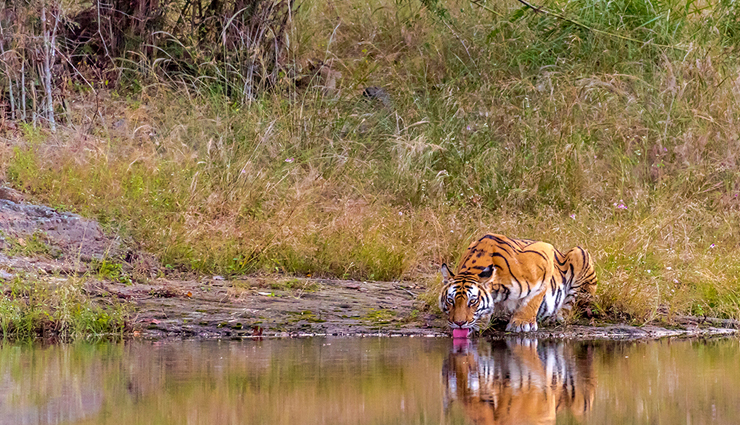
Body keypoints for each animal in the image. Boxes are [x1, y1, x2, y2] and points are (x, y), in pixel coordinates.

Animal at [439, 233, 597, 334]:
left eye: (472, 301)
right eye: (450, 300)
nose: (459, 324)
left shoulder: (545, 254)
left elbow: (532, 299)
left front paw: (522, 323)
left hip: (580, 253)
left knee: (570, 305)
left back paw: (557, 317)